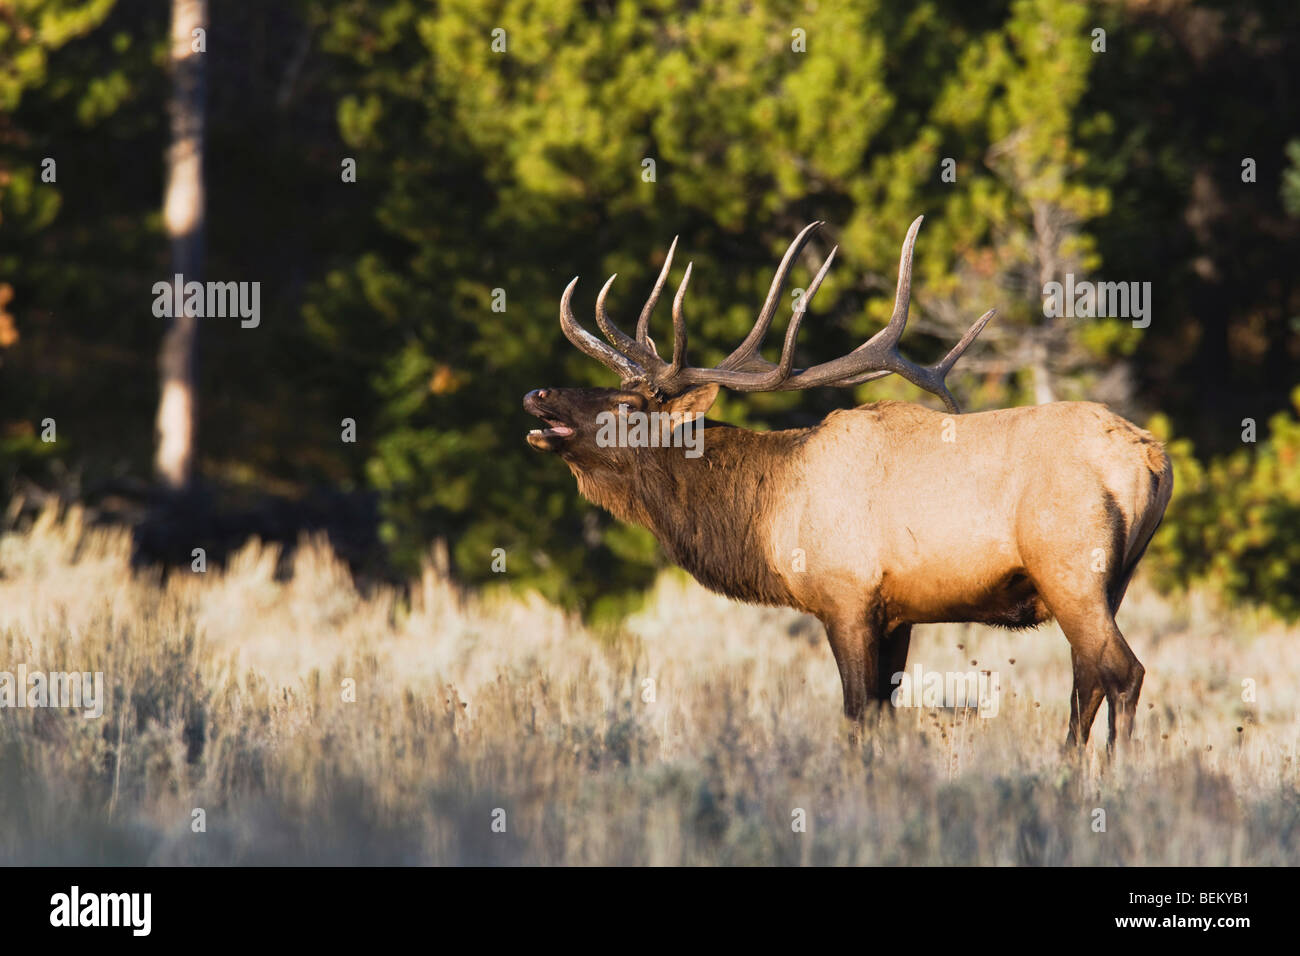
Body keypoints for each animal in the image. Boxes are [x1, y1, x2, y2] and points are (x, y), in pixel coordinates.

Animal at [524, 217, 1173, 749]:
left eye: (628, 404)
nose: (538, 393)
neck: (766, 514)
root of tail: (1155, 459)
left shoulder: (845, 596)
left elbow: (858, 715)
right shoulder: (899, 613)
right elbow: (885, 715)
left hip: (1069, 567)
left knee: (1122, 673)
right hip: (1113, 581)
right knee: (1087, 680)